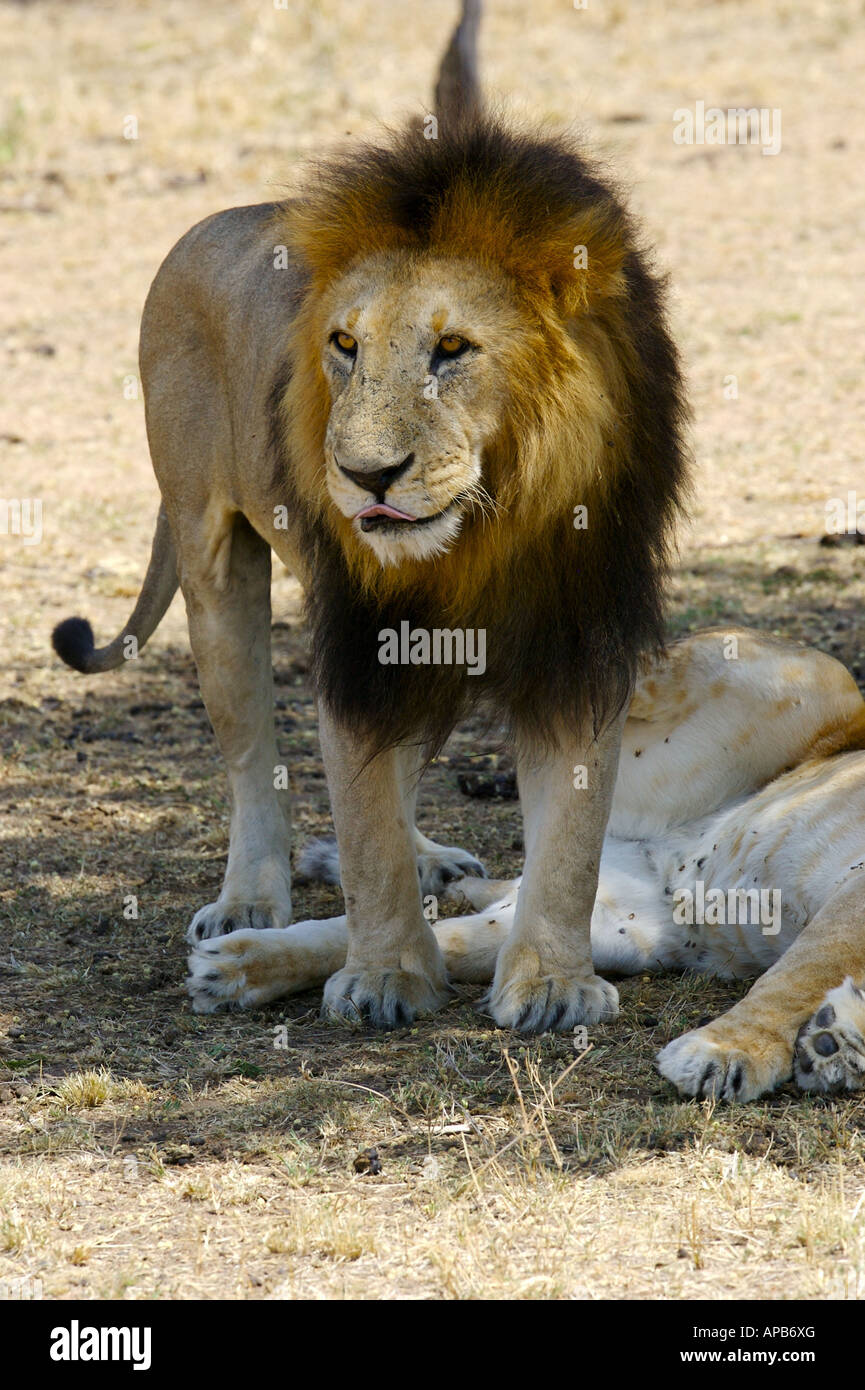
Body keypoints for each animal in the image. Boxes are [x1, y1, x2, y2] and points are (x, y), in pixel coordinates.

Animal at [51, 1, 687, 1033]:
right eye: (344, 346)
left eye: (453, 349)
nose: (362, 473)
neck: (488, 522)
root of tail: (210, 224)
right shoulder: (361, 632)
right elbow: (361, 823)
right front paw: (385, 974)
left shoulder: (579, 630)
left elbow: (571, 838)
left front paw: (551, 981)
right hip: (211, 553)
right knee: (250, 753)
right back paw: (249, 897)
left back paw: (429, 856)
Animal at [188, 627, 865, 1102]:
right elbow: (797, 972)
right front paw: (728, 1052)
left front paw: (833, 1048)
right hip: (811, 682)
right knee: (605, 672)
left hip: (609, 927)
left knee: (429, 936)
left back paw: (231, 967)